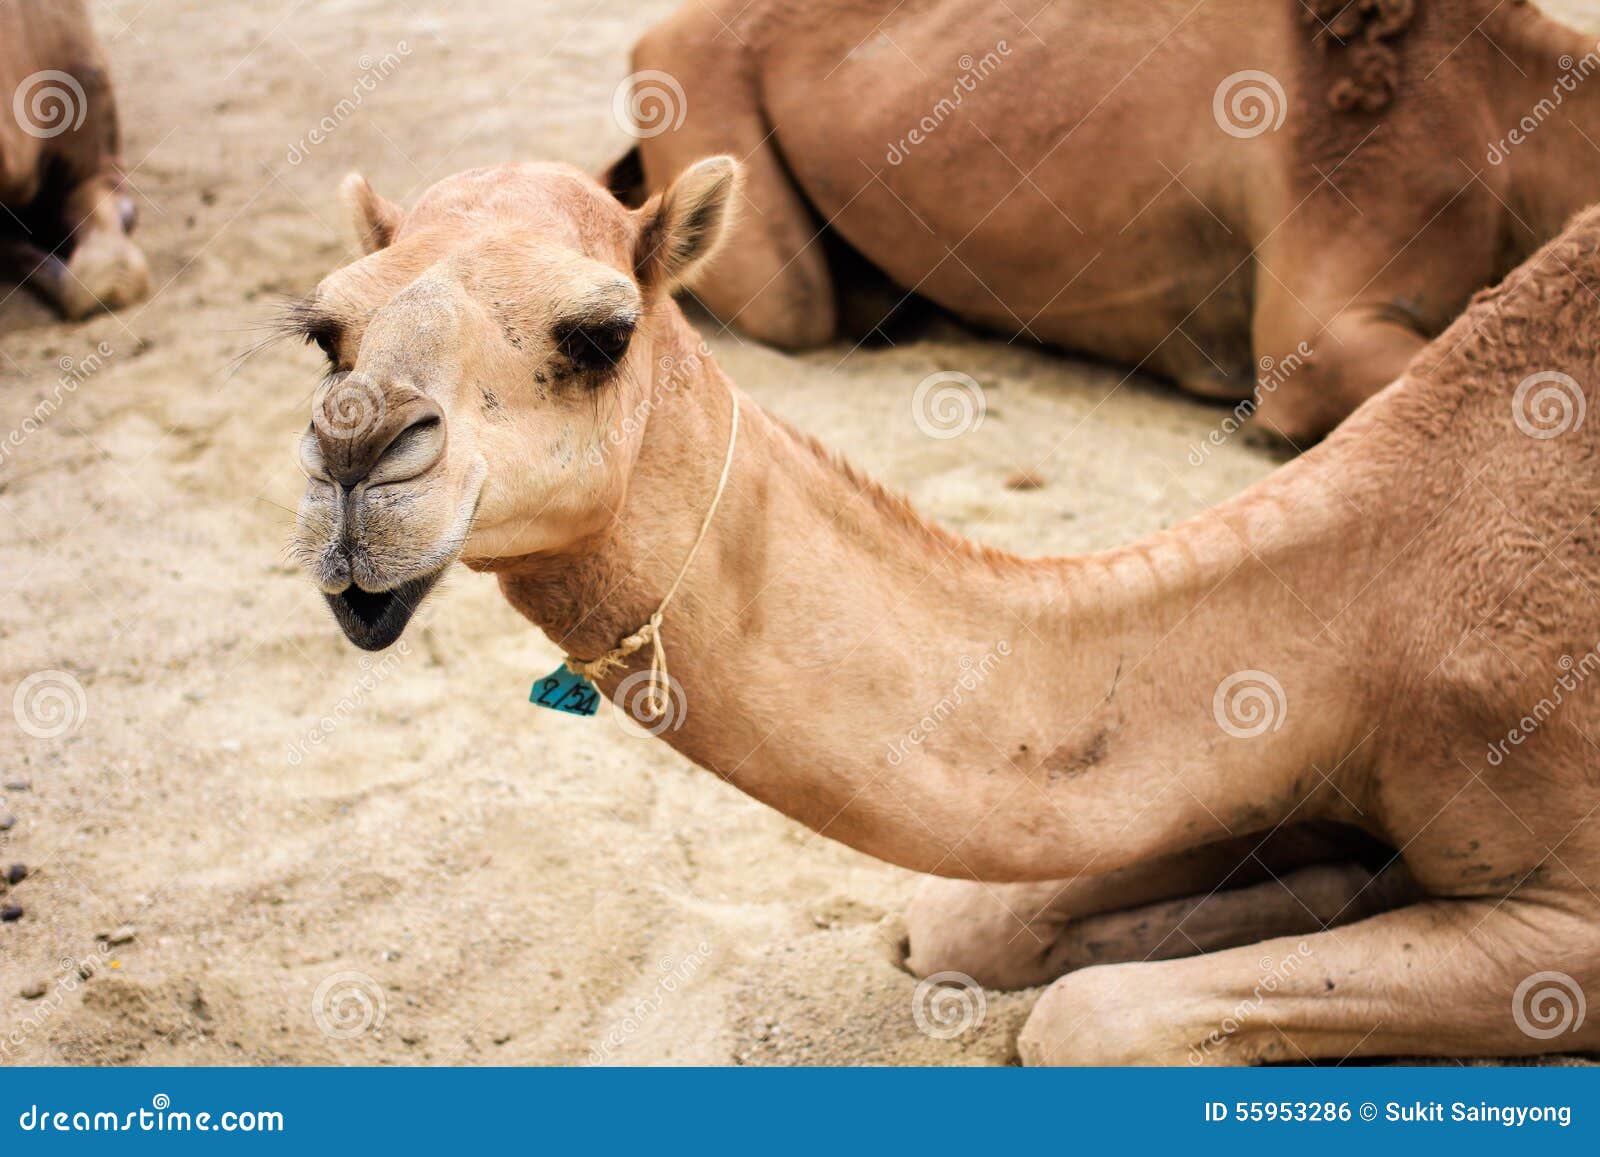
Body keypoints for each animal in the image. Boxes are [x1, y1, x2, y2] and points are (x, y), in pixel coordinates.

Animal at [288, 155, 1600, 1065]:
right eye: (326, 330)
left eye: (601, 332)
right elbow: (967, 929)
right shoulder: (1276, 755)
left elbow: (1082, 1021)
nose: (355, 453)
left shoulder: (1571, 912)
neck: (1382, 576)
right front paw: (1344, 884)